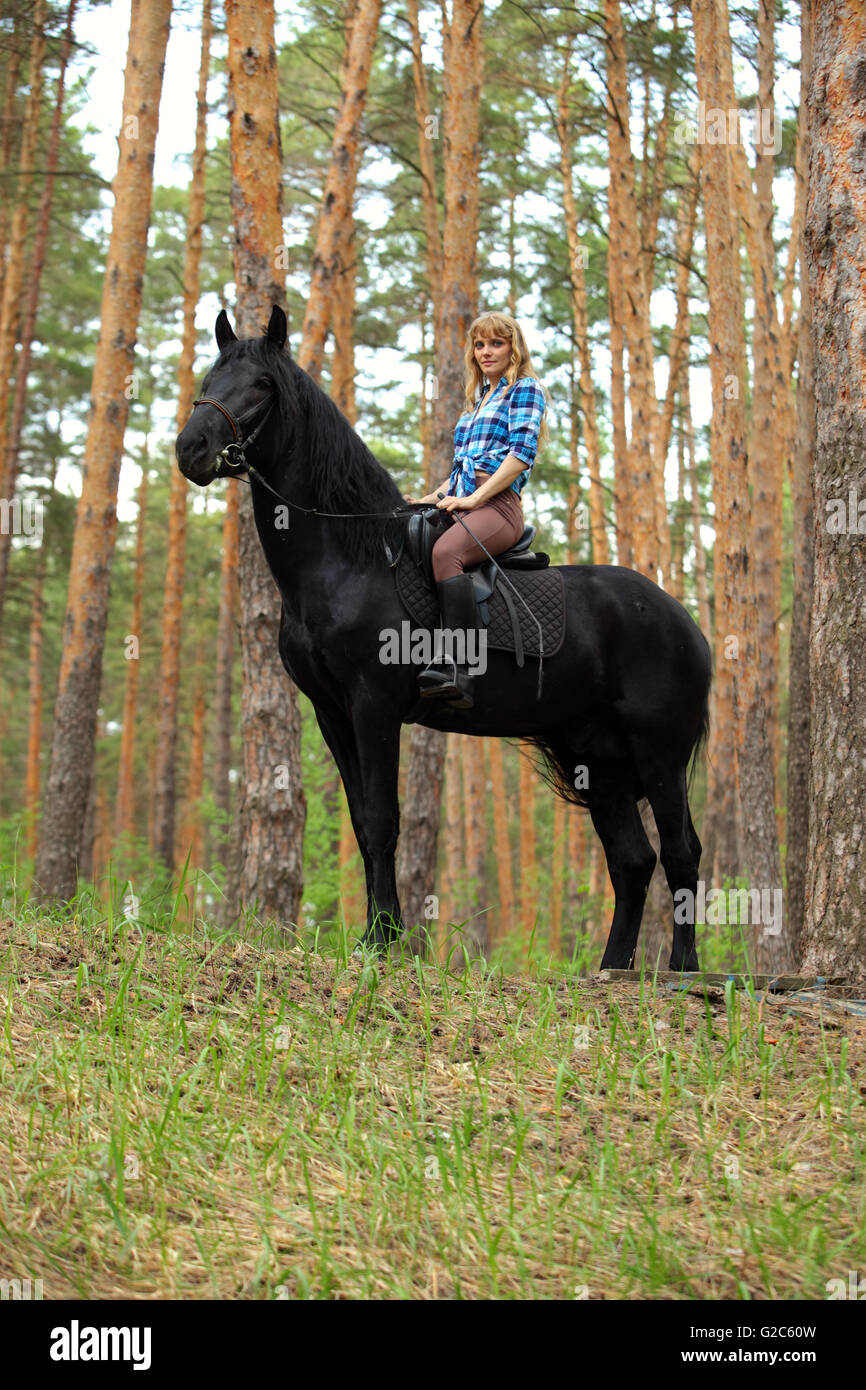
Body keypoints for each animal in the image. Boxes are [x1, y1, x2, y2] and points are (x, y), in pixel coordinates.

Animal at [175, 305, 712, 971]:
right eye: (211, 375)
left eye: (262, 386)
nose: (190, 450)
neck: (350, 560)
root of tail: (684, 621)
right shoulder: (331, 712)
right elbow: (362, 823)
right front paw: (380, 934)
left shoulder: (374, 706)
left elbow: (383, 820)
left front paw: (383, 942)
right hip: (597, 757)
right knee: (633, 861)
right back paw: (612, 970)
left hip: (658, 752)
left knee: (681, 851)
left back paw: (682, 970)